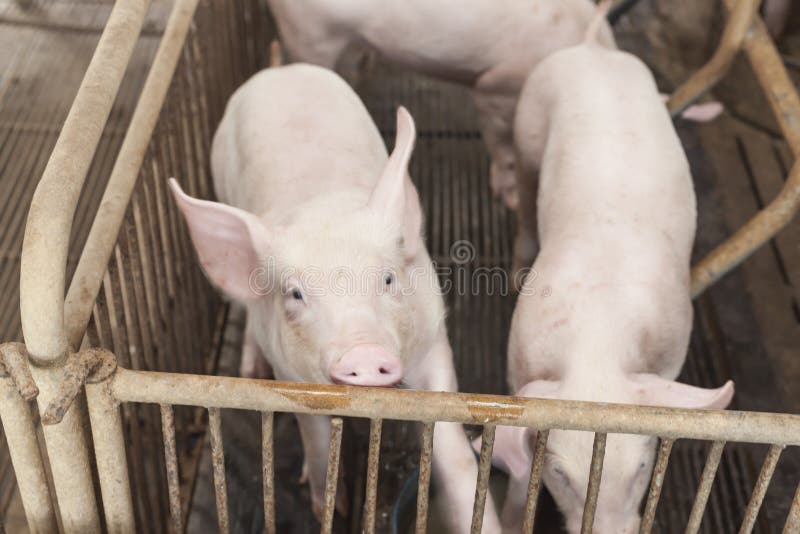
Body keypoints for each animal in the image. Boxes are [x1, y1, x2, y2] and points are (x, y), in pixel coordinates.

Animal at [169, 64, 501, 532]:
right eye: (295, 294)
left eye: (388, 279)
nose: (364, 353)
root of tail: (281, 69)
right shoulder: (289, 373)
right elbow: (316, 437)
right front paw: (332, 508)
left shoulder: (434, 337)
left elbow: (453, 449)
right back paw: (249, 369)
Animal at [486, 13, 735, 534]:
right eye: (560, 473)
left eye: (641, 465)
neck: (597, 338)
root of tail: (591, 49)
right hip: (527, 128)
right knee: (524, 204)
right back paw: (517, 270)